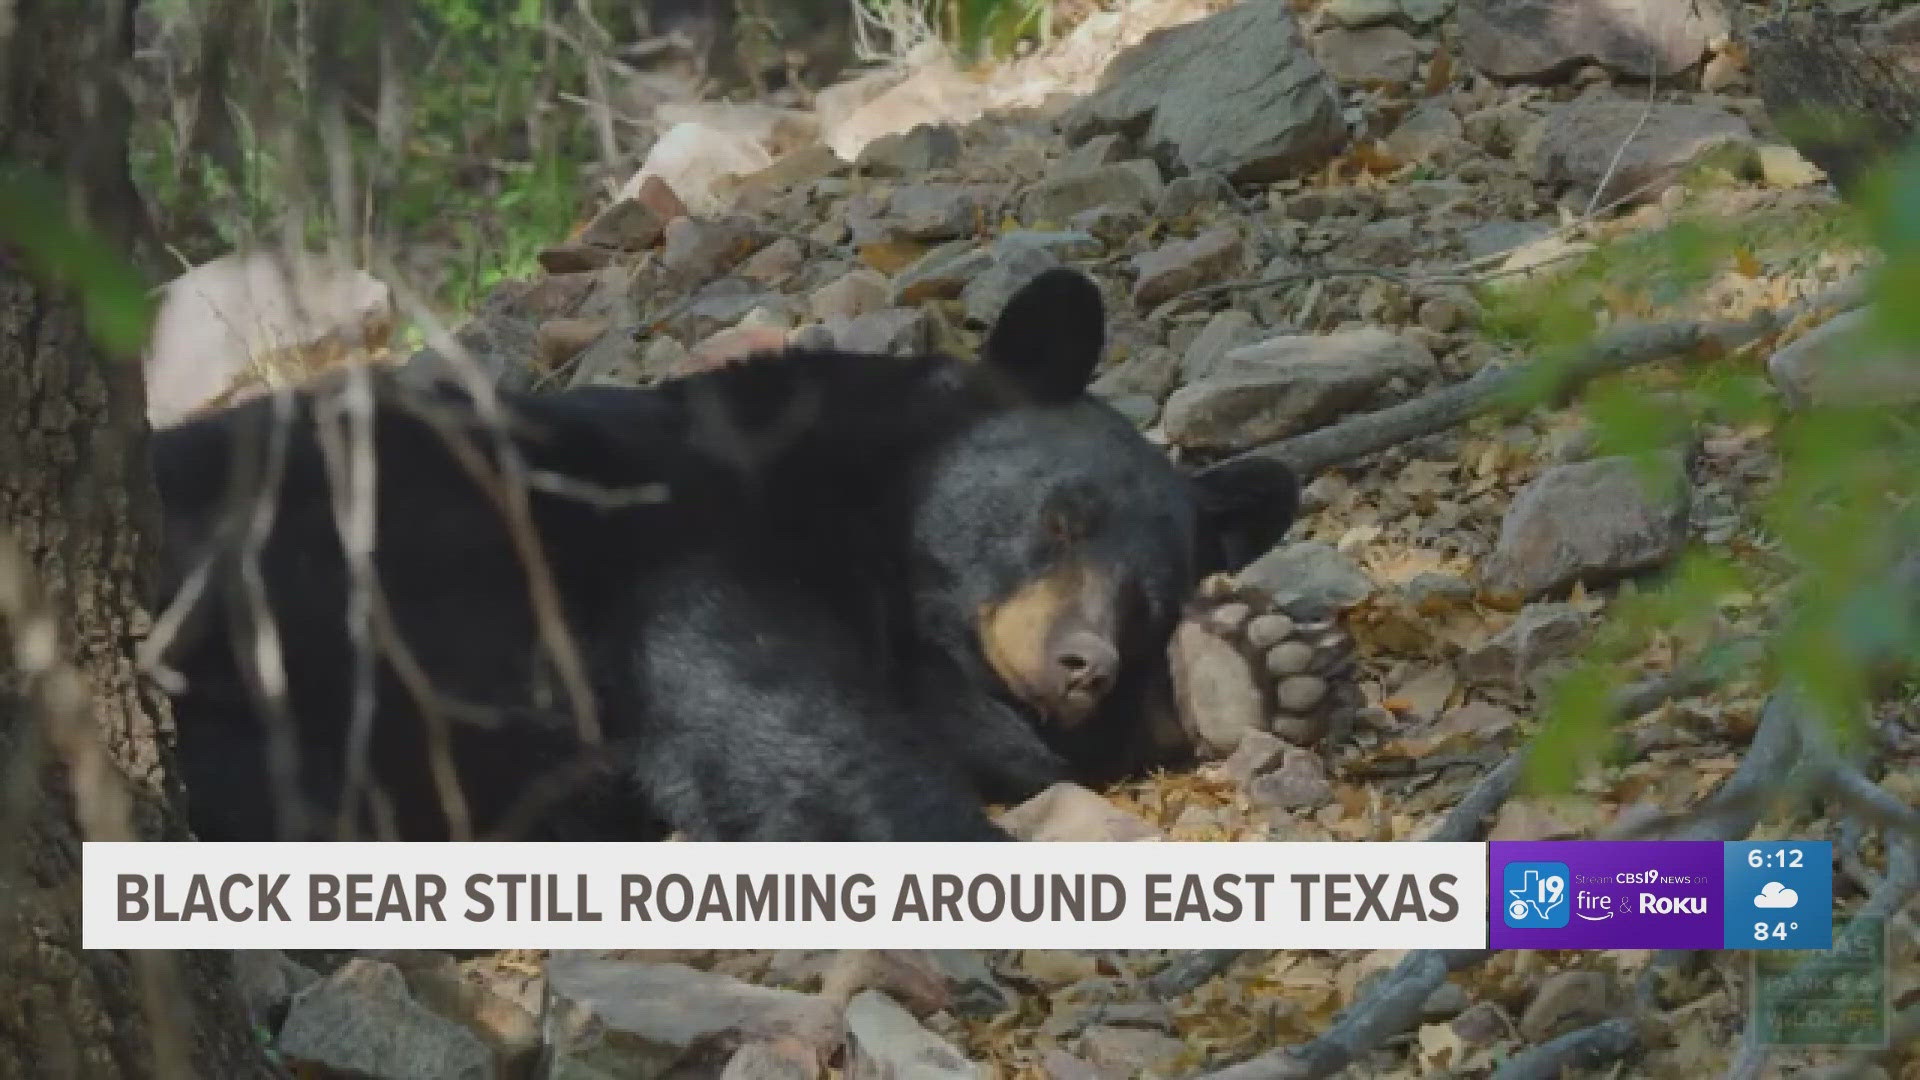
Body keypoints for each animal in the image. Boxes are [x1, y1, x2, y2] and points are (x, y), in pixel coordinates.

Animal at [152, 267, 1300, 843]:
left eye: (1147, 595)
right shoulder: (677, 550)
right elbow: (768, 707)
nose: (1083, 662)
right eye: (1057, 519)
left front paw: (1240, 665)